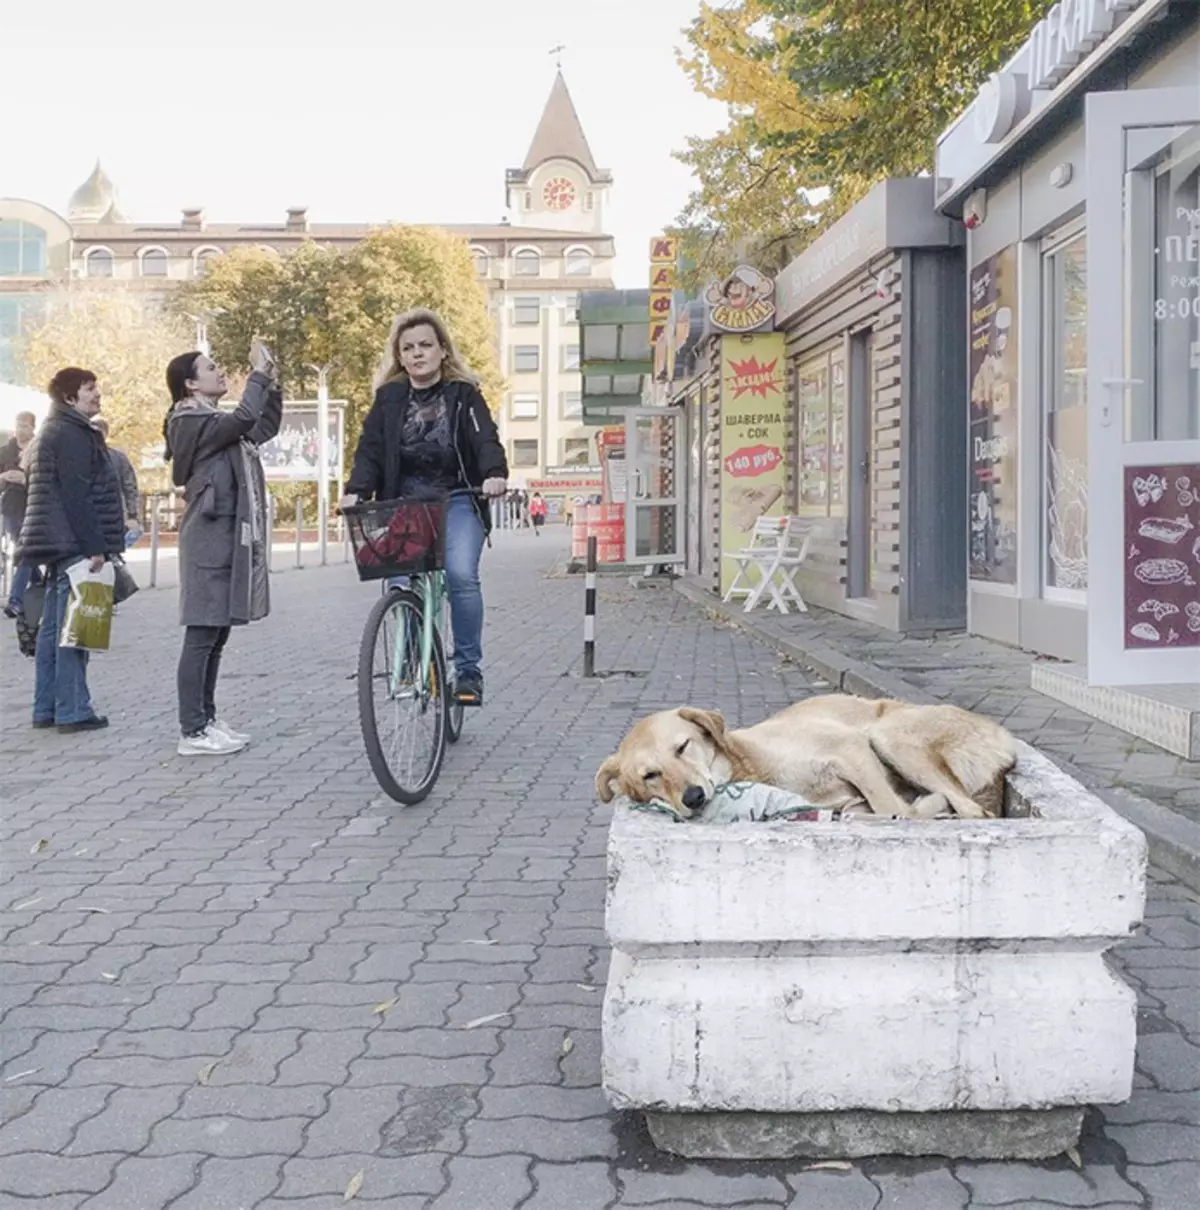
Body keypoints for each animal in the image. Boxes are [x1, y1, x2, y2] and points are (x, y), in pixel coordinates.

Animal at [595, 696, 1016, 817]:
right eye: (650, 775)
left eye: (682, 747)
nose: (694, 798)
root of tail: (1002, 735)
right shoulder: (845, 804)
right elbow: (875, 811)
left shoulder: (851, 749)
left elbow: (891, 808)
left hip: (888, 736)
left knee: (974, 811)